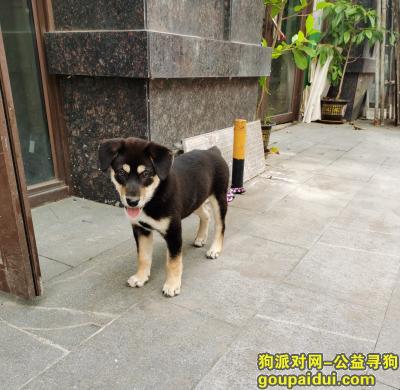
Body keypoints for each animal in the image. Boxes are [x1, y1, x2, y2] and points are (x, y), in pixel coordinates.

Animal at [99, 139, 230, 298]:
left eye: (146, 173)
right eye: (121, 172)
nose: (132, 202)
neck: (153, 198)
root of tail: (213, 151)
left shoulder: (173, 231)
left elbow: (173, 262)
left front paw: (172, 285)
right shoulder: (141, 230)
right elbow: (143, 256)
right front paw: (140, 277)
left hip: (219, 198)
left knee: (220, 226)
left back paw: (215, 249)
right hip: (194, 201)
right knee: (206, 214)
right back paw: (200, 238)